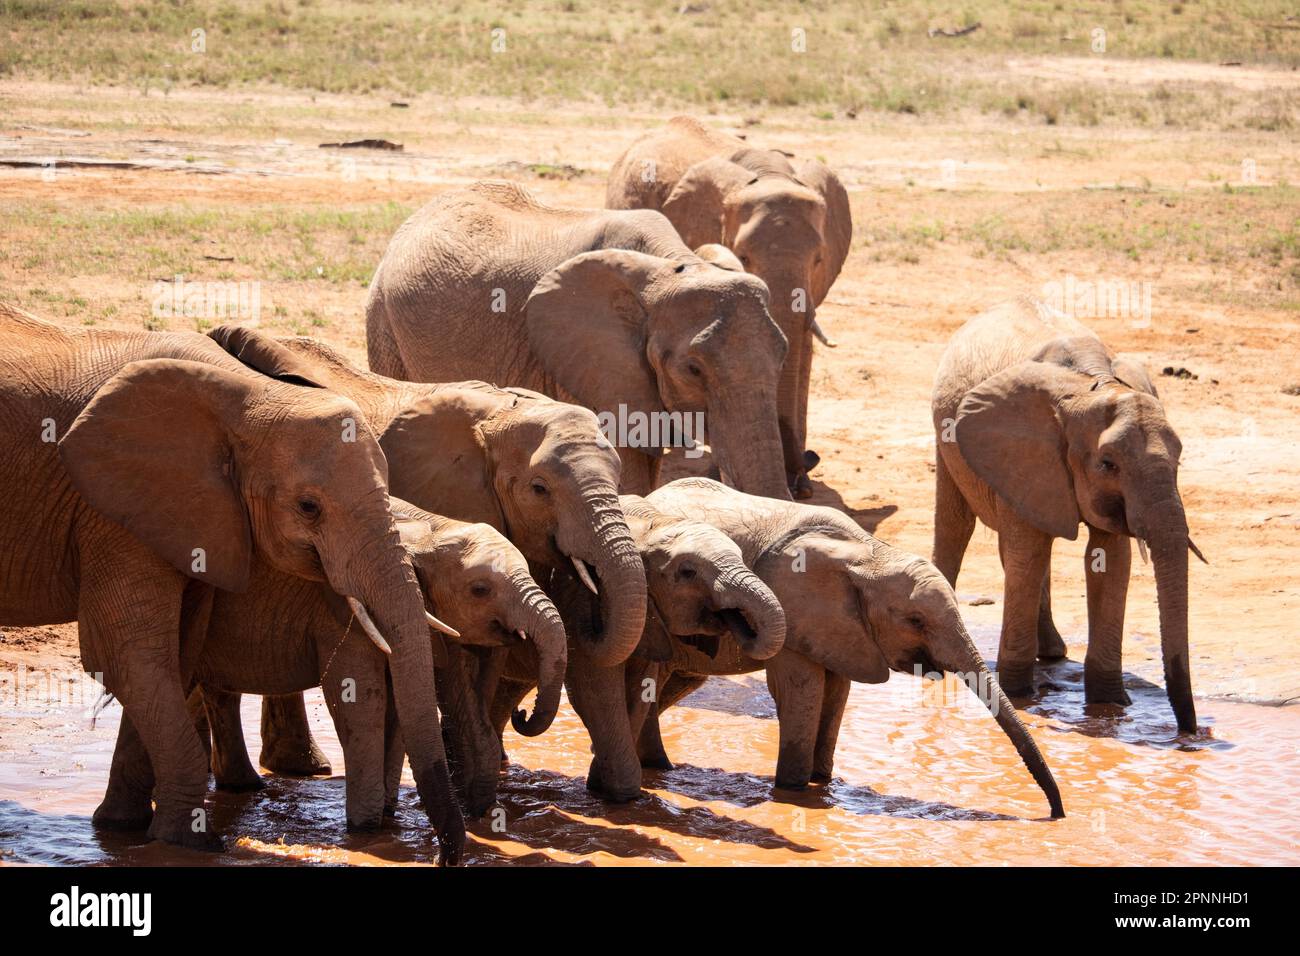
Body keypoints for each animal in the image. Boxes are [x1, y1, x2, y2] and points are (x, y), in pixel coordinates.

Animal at [0, 305, 463, 861]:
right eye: (309, 507)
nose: (444, 855)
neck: (246, 396)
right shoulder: (110, 508)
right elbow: (129, 657)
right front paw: (193, 843)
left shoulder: (186, 517)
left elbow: (175, 657)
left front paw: (123, 830)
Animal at [196, 502, 565, 824]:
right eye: (480, 589)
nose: (523, 715)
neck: (430, 528)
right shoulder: (339, 608)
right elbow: (361, 699)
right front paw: (368, 825)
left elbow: (400, 706)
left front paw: (388, 813)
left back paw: (239, 784)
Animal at [489, 494, 786, 801]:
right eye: (688, 572)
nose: (740, 623)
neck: (648, 527)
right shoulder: (576, 598)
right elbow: (595, 689)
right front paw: (620, 794)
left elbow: (640, 687)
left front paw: (600, 783)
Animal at [639, 478, 1065, 819]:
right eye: (916, 621)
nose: (1057, 814)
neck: (869, 554)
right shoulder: (796, 611)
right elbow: (804, 691)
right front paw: (794, 792)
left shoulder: (842, 630)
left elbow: (836, 693)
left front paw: (822, 783)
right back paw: (656, 770)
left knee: (678, 681)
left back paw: (659, 768)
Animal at [931, 297, 1200, 733]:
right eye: (1108, 464)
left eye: (1179, 460)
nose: (1190, 734)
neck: (1092, 387)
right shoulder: (1022, 453)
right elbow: (1029, 552)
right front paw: (1020, 694)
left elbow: (1111, 561)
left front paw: (1110, 706)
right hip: (946, 436)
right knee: (957, 524)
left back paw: (1054, 652)